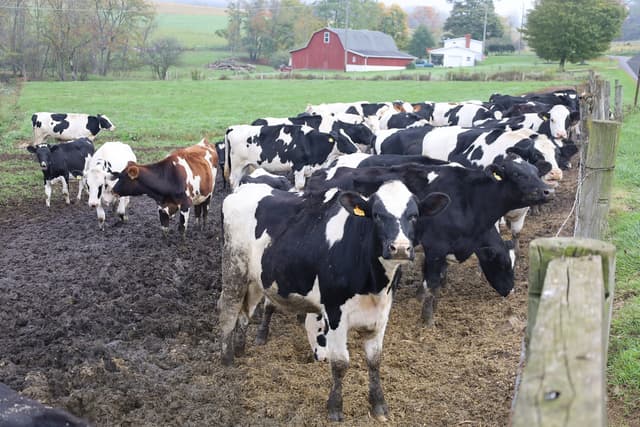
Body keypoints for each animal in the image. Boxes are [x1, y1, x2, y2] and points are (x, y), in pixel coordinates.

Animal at [219, 178, 450, 421]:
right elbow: (340, 363)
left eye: (414, 215)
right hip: (234, 270)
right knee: (228, 313)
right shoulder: (335, 312)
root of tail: (243, 189)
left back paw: (240, 348)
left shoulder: (381, 315)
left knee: (245, 313)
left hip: (255, 280)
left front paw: (378, 405)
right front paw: (335, 408)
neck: (373, 283)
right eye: (377, 215)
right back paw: (228, 360)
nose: (401, 248)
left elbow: (375, 360)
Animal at [223, 124, 359, 190]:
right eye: (344, 140)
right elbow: (299, 185)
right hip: (237, 164)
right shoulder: (298, 166)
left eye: (350, 138)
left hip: (244, 165)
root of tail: (233, 127)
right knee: (233, 181)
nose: (357, 150)